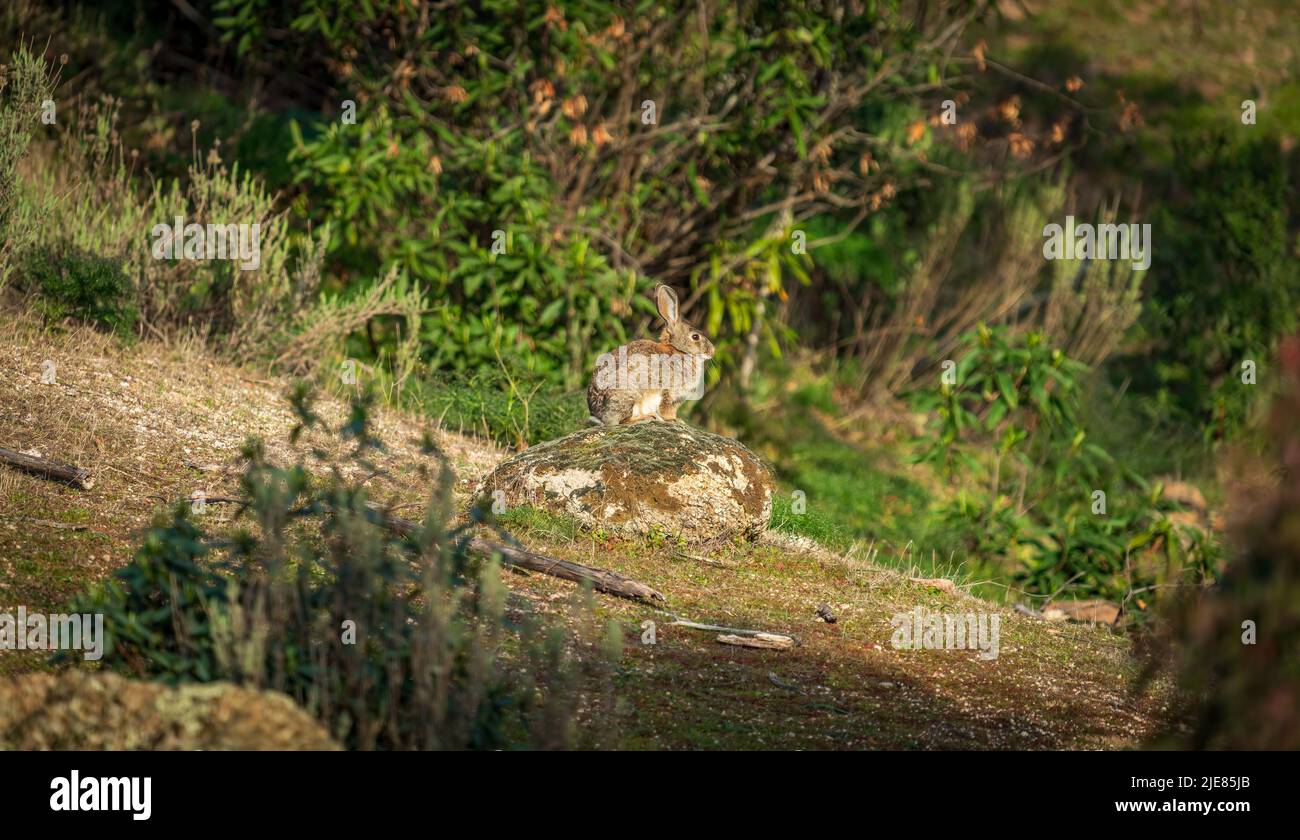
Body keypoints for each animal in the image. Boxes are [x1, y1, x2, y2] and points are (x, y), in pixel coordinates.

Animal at [587, 284, 715, 426]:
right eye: (695, 337)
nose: (712, 351)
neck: (679, 350)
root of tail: (599, 415)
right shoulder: (669, 392)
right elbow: (666, 407)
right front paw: (672, 420)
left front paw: (678, 420)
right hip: (630, 394)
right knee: (623, 420)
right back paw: (647, 417)